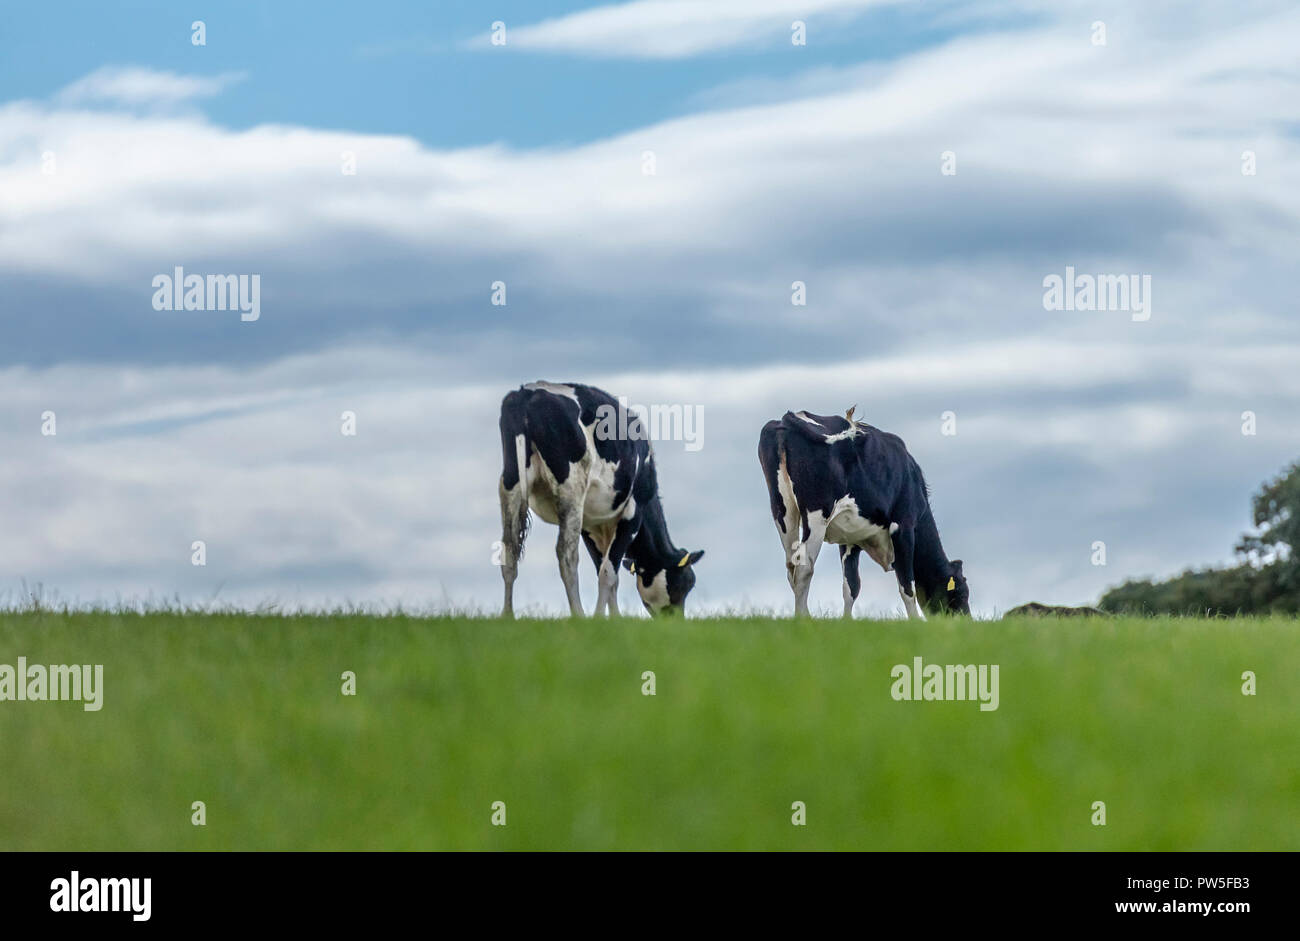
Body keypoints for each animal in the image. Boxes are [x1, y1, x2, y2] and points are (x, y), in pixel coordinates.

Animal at [498, 381, 704, 617]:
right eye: (687, 583)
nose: (677, 620)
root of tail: (526, 393)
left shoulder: (591, 525)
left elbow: (605, 570)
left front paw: (613, 618)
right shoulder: (632, 512)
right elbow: (608, 572)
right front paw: (599, 618)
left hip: (510, 484)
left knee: (509, 551)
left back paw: (507, 616)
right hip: (571, 488)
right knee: (566, 553)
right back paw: (578, 614)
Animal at [758, 408, 969, 619]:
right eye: (961, 593)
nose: (967, 620)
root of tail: (789, 417)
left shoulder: (850, 540)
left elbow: (851, 587)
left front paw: (847, 621)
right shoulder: (903, 525)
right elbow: (907, 585)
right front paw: (915, 621)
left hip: (783, 512)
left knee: (791, 566)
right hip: (817, 514)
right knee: (804, 567)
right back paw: (803, 618)